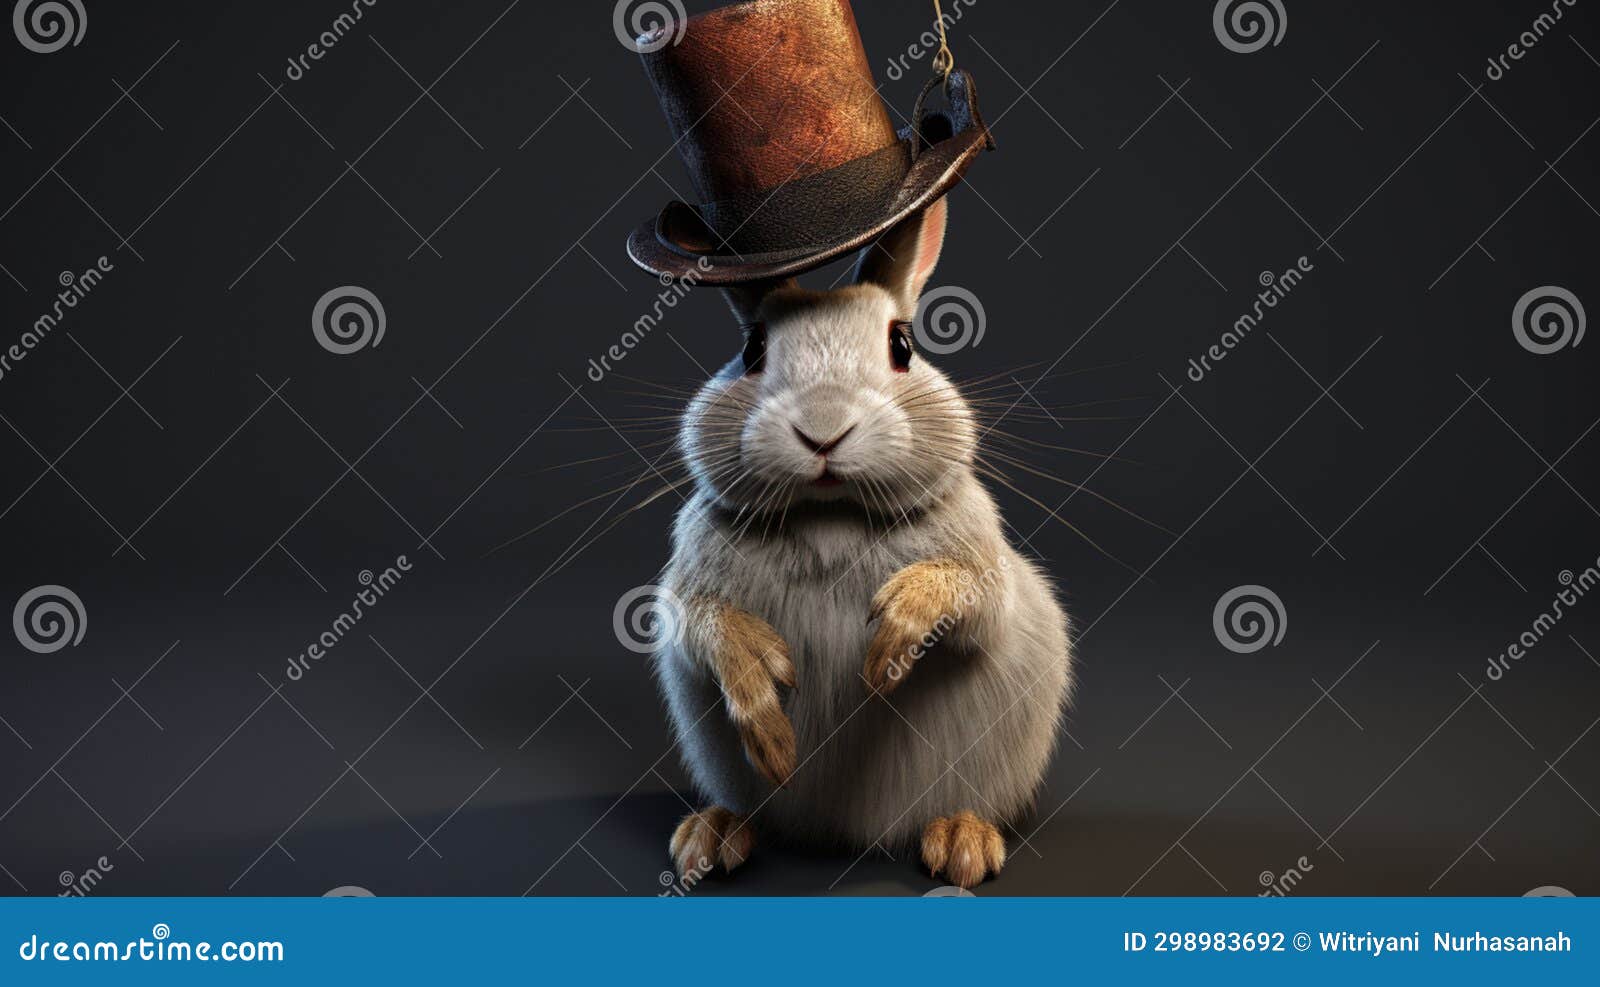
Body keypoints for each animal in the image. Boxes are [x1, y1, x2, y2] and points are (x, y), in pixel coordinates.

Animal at [652, 198, 1074, 889]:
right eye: (752, 349)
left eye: (902, 345)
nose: (823, 431)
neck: (832, 518)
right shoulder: (686, 589)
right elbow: (704, 627)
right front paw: (770, 724)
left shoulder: (984, 565)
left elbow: (972, 597)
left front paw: (891, 642)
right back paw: (713, 834)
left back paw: (961, 840)